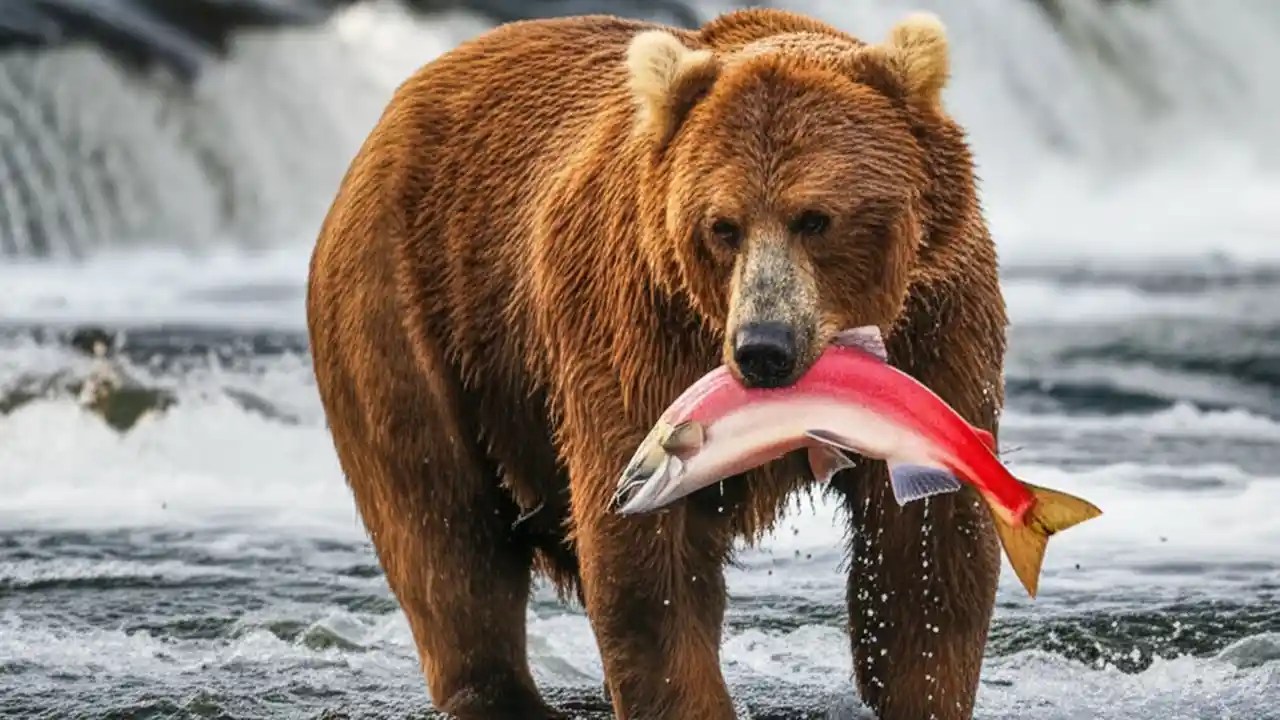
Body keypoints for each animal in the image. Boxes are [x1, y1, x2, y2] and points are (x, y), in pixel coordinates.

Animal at [305, 7, 1008, 720]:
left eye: (815, 219)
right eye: (723, 225)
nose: (763, 348)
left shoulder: (938, 331)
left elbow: (925, 543)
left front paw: (923, 686)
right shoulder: (638, 330)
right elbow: (650, 562)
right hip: (411, 304)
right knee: (444, 528)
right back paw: (500, 690)